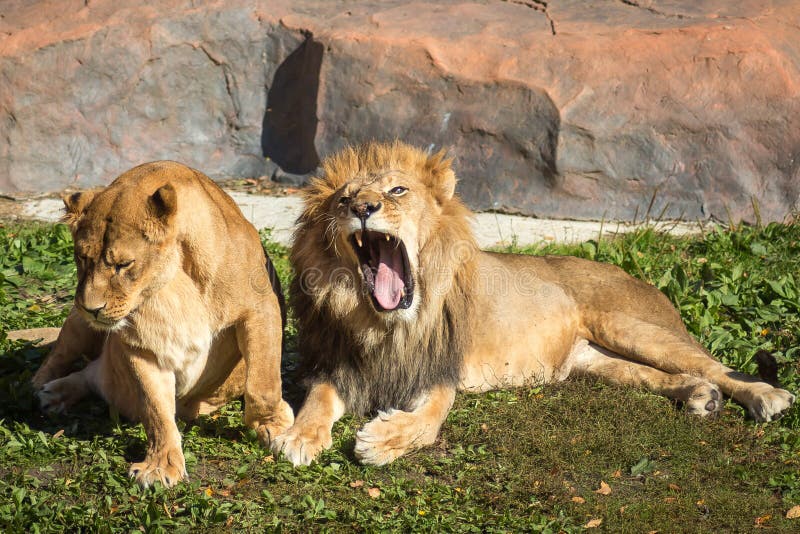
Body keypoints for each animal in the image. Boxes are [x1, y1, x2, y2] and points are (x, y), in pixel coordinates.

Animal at [31, 161, 293, 487]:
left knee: (92, 374)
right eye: (82, 257)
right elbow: (156, 410)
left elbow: (263, 383)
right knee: (70, 362)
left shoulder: (261, 309)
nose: (92, 308)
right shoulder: (140, 345)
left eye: (123, 264)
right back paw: (45, 391)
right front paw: (160, 466)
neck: (175, 279)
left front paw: (277, 427)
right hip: (78, 324)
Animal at [273, 141, 796, 467]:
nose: (363, 208)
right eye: (344, 199)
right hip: (597, 361)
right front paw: (297, 436)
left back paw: (766, 397)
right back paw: (699, 397)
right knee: (665, 375)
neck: (385, 324)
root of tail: (637, 278)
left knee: (716, 365)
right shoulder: (338, 367)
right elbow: (317, 403)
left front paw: (382, 439)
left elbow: (427, 422)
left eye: (397, 190)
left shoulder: (440, 375)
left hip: (628, 326)